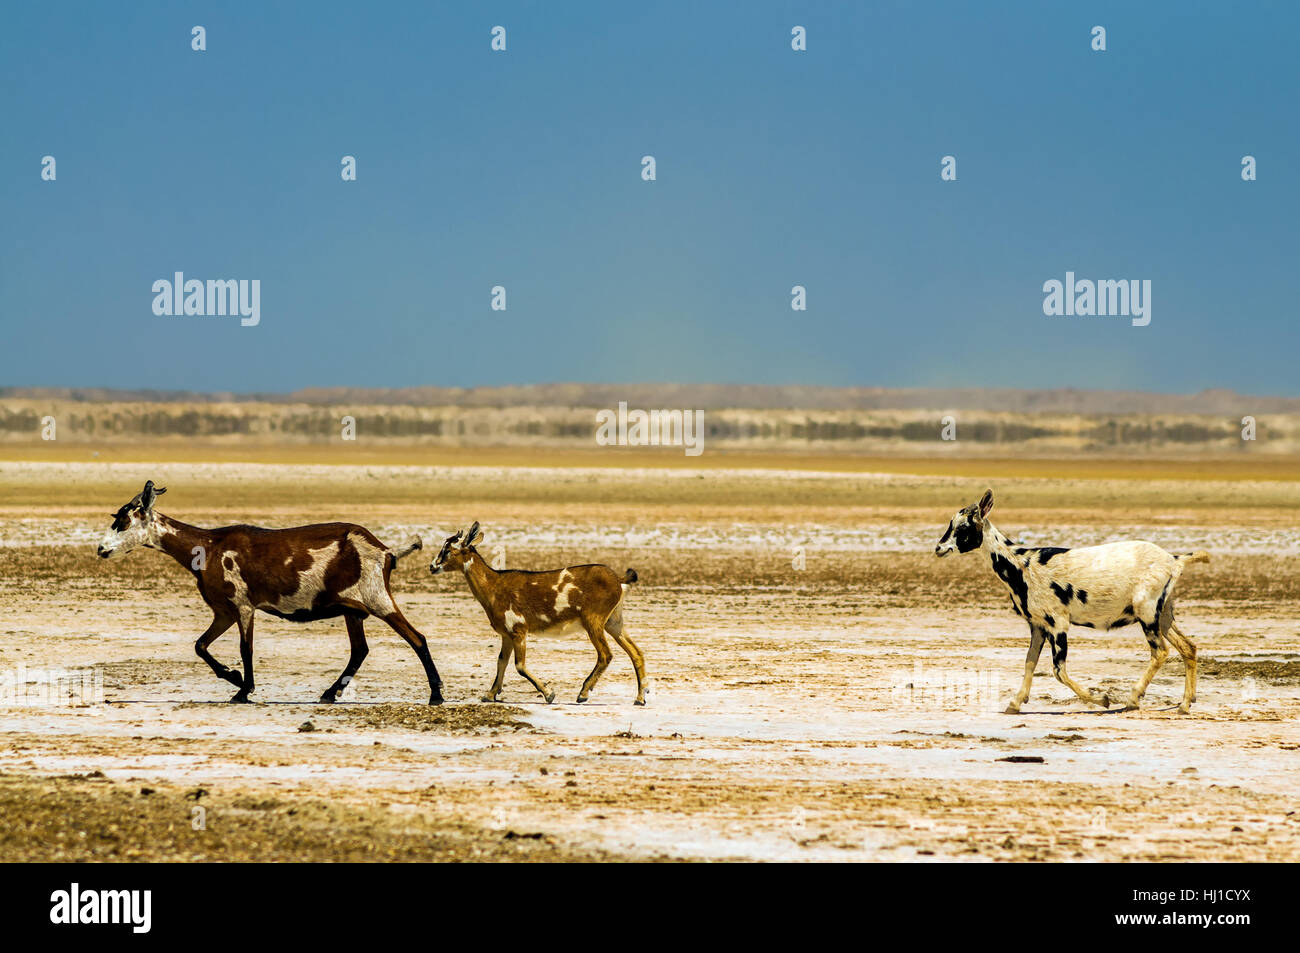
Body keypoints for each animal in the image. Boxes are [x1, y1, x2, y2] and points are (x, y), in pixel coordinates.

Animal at [97, 480, 443, 704]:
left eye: (124, 520)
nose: (101, 549)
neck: (209, 546)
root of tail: (385, 550)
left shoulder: (243, 606)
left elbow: (245, 648)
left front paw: (243, 689)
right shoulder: (223, 611)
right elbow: (200, 645)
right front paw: (235, 678)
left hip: (377, 597)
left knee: (416, 639)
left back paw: (436, 694)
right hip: (354, 609)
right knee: (359, 649)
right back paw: (330, 693)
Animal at [429, 521, 646, 705]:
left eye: (448, 549)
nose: (432, 566)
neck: (494, 586)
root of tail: (618, 580)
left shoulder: (518, 630)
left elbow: (519, 666)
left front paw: (549, 694)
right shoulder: (506, 635)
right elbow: (501, 662)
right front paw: (490, 695)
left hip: (593, 621)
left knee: (605, 655)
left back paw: (583, 693)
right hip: (613, 622)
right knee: (636, 652)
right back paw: (640, 697)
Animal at [935, 488, 1206, 714]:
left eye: (963, 526)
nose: (939, 548)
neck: (1022, 565)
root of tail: (1174, 560)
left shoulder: (1058, 624)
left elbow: (1058, 671)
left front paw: (1103, 699)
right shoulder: (1038, 626)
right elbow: (1029, 662)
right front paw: (1015, 703)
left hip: (1147, 612)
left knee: (1160, 651)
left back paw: (1132, 699)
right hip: (1163, 614)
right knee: (1188, 647)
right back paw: (1184, 704)